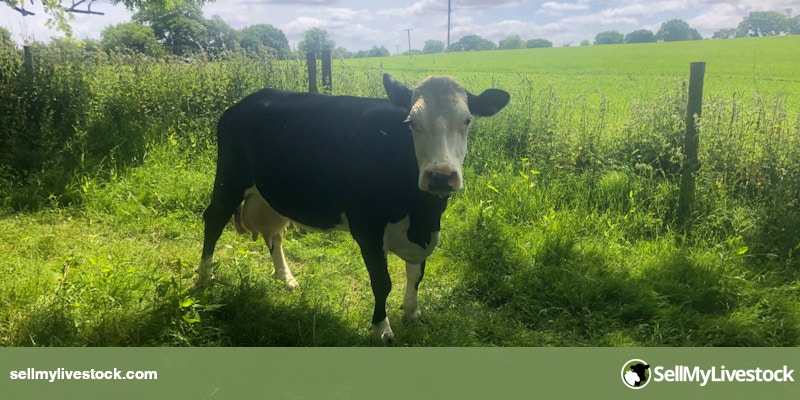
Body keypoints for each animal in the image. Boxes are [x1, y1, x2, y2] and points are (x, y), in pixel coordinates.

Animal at [197, 73, 510, 343]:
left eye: (467, 120)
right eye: (412, 122)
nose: (441, 176)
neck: (421, 213)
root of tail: (249, 99)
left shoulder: (424, 231)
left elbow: (416, 275)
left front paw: (413, 314)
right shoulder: (367, 229)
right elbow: (382, 282)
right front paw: (382, 329)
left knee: (274, 234)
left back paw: (286, 278)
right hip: (229, 179)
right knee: (213, 219)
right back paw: (204, 278)